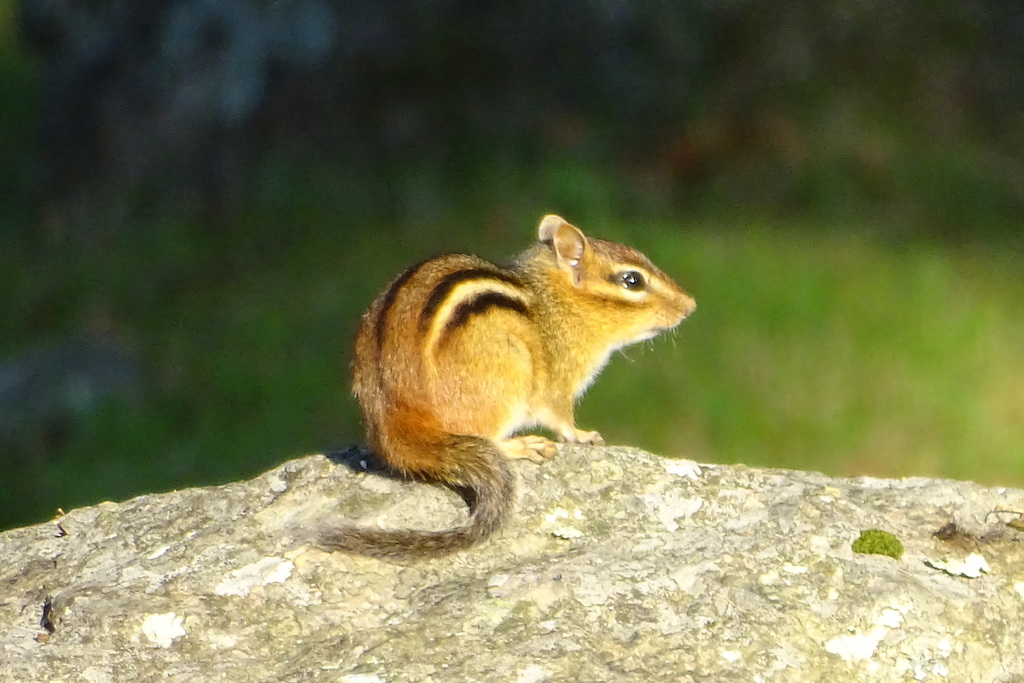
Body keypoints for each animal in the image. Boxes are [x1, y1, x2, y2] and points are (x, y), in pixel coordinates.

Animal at [317, 215, 696, 559]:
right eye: (632, 280)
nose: (691, 305)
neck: (556, 303)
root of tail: (396, 422)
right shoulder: (559, 381)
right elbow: (562, 418)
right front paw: (582, 435)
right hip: (506, 377)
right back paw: (521, 445)